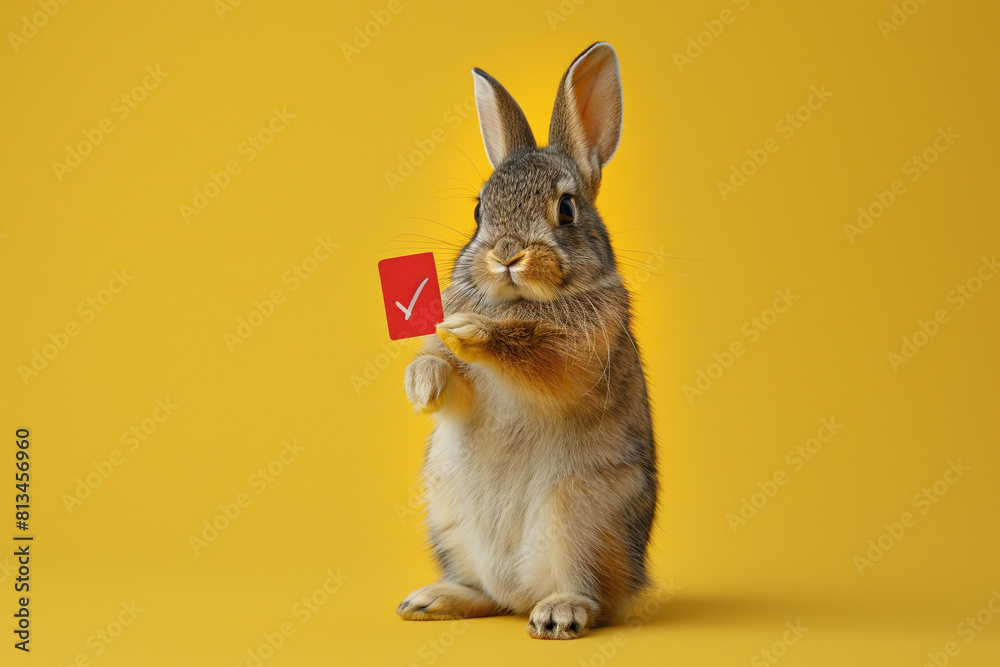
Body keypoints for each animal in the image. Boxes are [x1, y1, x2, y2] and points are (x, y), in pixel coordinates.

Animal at [396, 42, 657, 640]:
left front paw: (474, 332)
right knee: (488, 595)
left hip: (581, 516)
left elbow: (538, 357)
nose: (506, 254)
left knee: (591, 597)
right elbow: (449, 381)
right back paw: (433, 600)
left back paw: (559, 612)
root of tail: (520, 594)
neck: (519, 302)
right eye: (478, 211)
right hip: (448, 517)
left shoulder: (583, 353)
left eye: (566, 208)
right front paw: (421, 383)